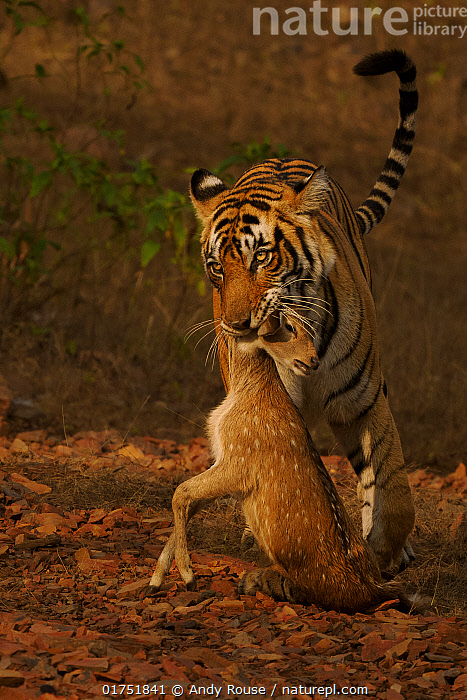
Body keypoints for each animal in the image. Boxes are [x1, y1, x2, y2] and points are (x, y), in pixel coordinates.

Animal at [189, 49, 418, 576]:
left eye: (261, 257)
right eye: (216, 268)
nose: (235, 326)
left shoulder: (365, 401)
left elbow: (394, 493)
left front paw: (382, 553)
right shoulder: (273, 408)